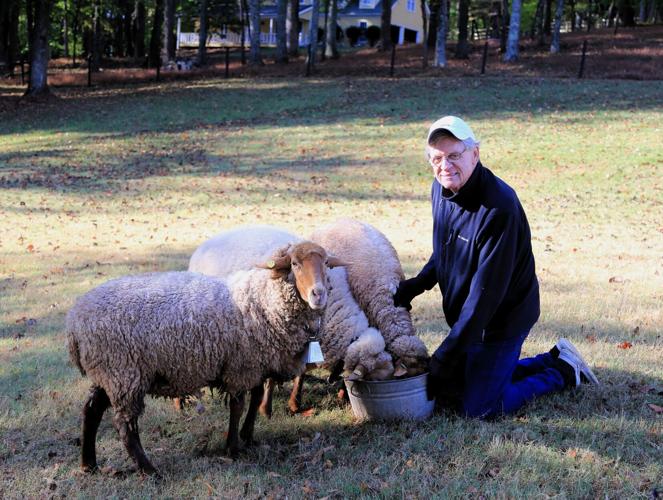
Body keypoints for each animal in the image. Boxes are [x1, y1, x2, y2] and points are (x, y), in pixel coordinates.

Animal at [66, 241, 342, 475]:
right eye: (295, 263)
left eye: (327, 263)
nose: (318, 294)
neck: (260, 299)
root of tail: (74, 324)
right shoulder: (240, 367)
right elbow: (238, 406)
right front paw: (233, 448)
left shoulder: (255, 364)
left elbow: (254, 400)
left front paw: (248, 436)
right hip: (124, 373)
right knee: (125, 426)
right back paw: (149, 470)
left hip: (109, 374)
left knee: (91, 410)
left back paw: (89, 464)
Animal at [188, 225, 395, 416]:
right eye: (373, 380)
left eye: (327, 262)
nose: (318, 295)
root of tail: (205, 245)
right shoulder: (275, 336)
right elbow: (274, 377)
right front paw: (266, 409)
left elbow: (301, 371)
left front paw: (295, 403)